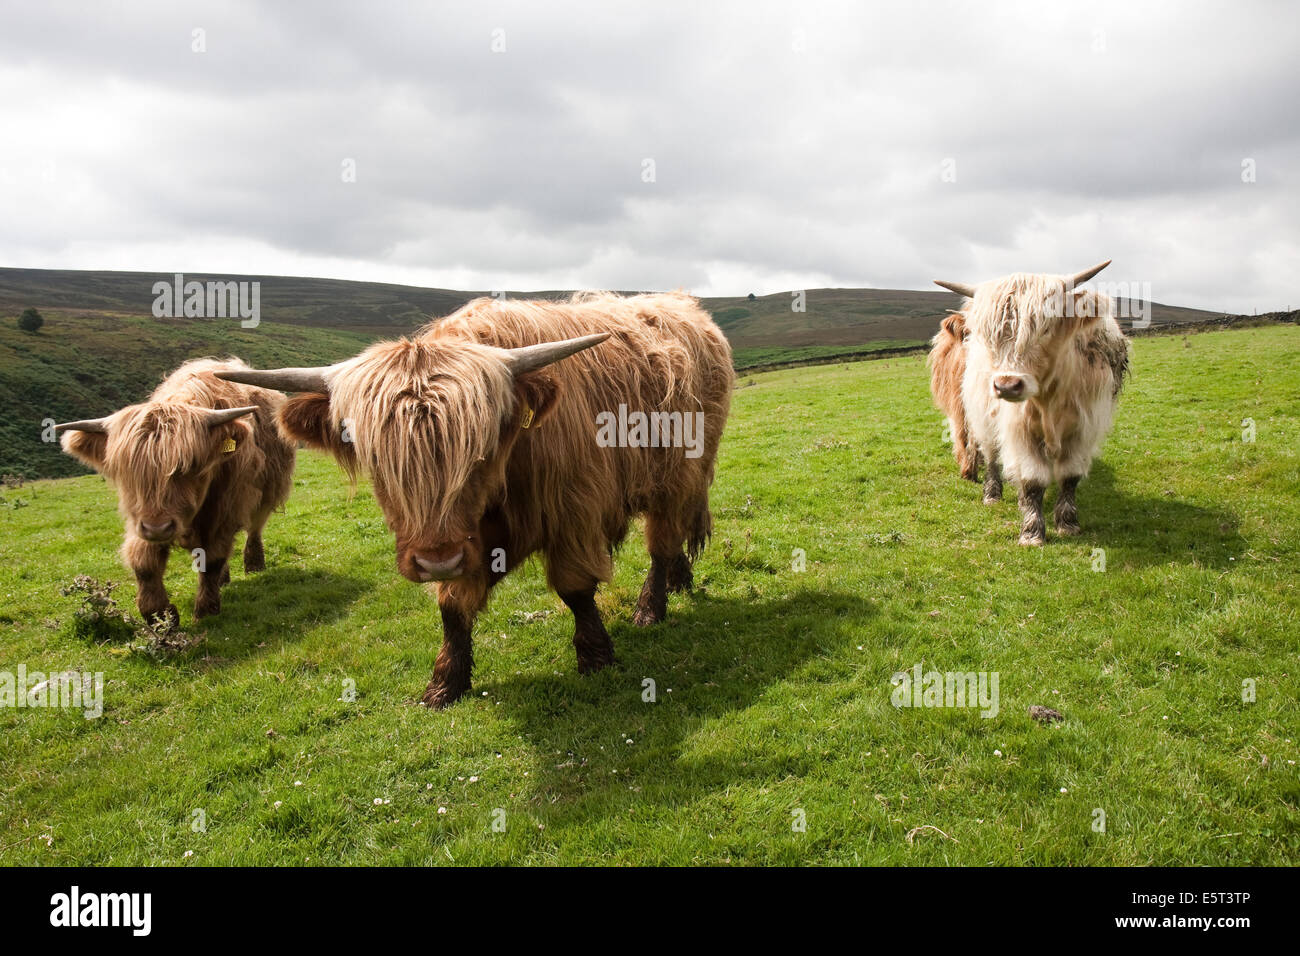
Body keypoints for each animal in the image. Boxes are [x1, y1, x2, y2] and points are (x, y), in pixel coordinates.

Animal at [57, 358, 296, 623]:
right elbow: (144, 563)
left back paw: (253, 564)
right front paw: (160, 614)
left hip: (268, 490)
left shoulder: (226, 509)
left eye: (191, 466)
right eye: (127, 472)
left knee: (255, 527)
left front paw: (206, 610)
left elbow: (212, 559)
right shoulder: (141, 519)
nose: (158, 528)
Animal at [217, 292, 733, 708]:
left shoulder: (573, 508)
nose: (437, 560)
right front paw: (446, 683)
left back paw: (651, 607)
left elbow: (575, 588)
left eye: (481, 450)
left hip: (682, 473)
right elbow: (451, 607)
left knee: (662, 540)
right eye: (376, 459)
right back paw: (679, 581)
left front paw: (595, 657)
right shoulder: (462, 542)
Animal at [933, 261, 1129, 545]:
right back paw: (992, 493)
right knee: (991, 454)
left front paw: (1068, 523)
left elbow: (1070, 475)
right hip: (982, 417)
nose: (1006, 385)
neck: (1050, 397)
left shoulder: (1084, 426)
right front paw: (1032, 531)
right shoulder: (1018, 429)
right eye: (990, 336)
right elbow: (1032, 479)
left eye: (1045, 329)